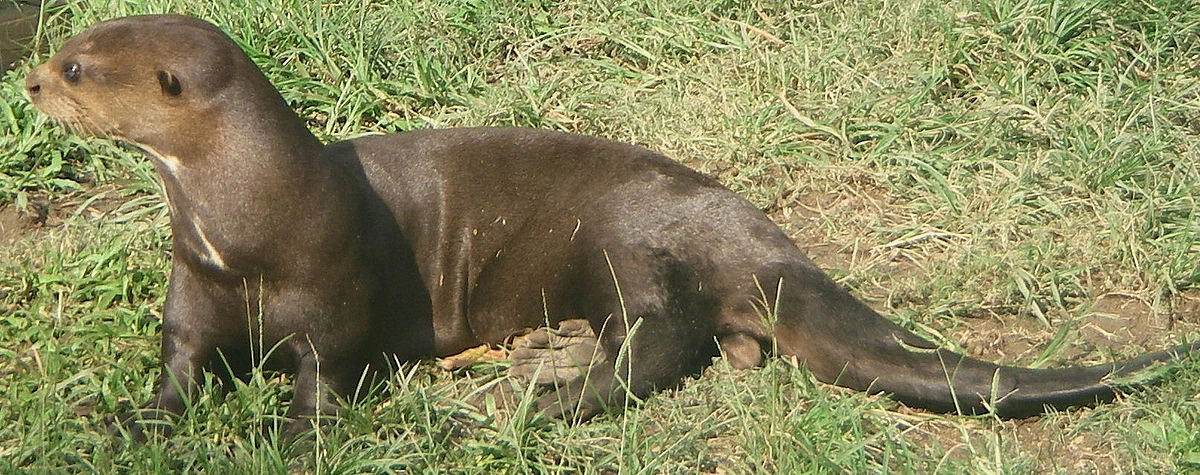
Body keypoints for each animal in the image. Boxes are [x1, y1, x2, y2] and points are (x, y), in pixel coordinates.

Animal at [24, 14, 1198, 439]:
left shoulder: (330, 289)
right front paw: (131, 420)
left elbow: (325, 373)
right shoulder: (192, 284)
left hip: (626, 233)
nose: (29, 79)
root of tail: (756, 229)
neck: (245, 223)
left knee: (662, 336)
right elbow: (180, 365)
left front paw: (288, 432)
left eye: (78, 66)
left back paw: (548, 392)